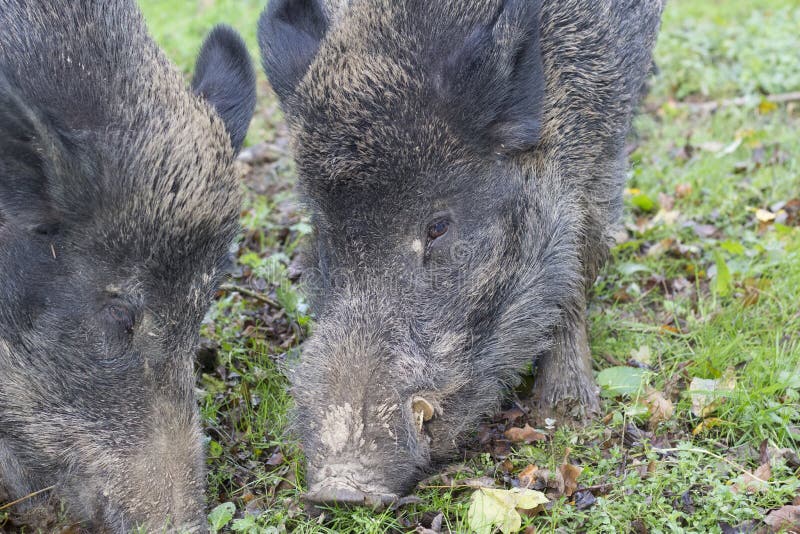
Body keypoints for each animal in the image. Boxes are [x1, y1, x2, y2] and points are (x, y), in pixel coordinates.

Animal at [258, 0, 663, 507]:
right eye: (325, 230)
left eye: (437, 226)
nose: (339, 489)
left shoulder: (604, 137)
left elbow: (579, 260)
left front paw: (570, 415)